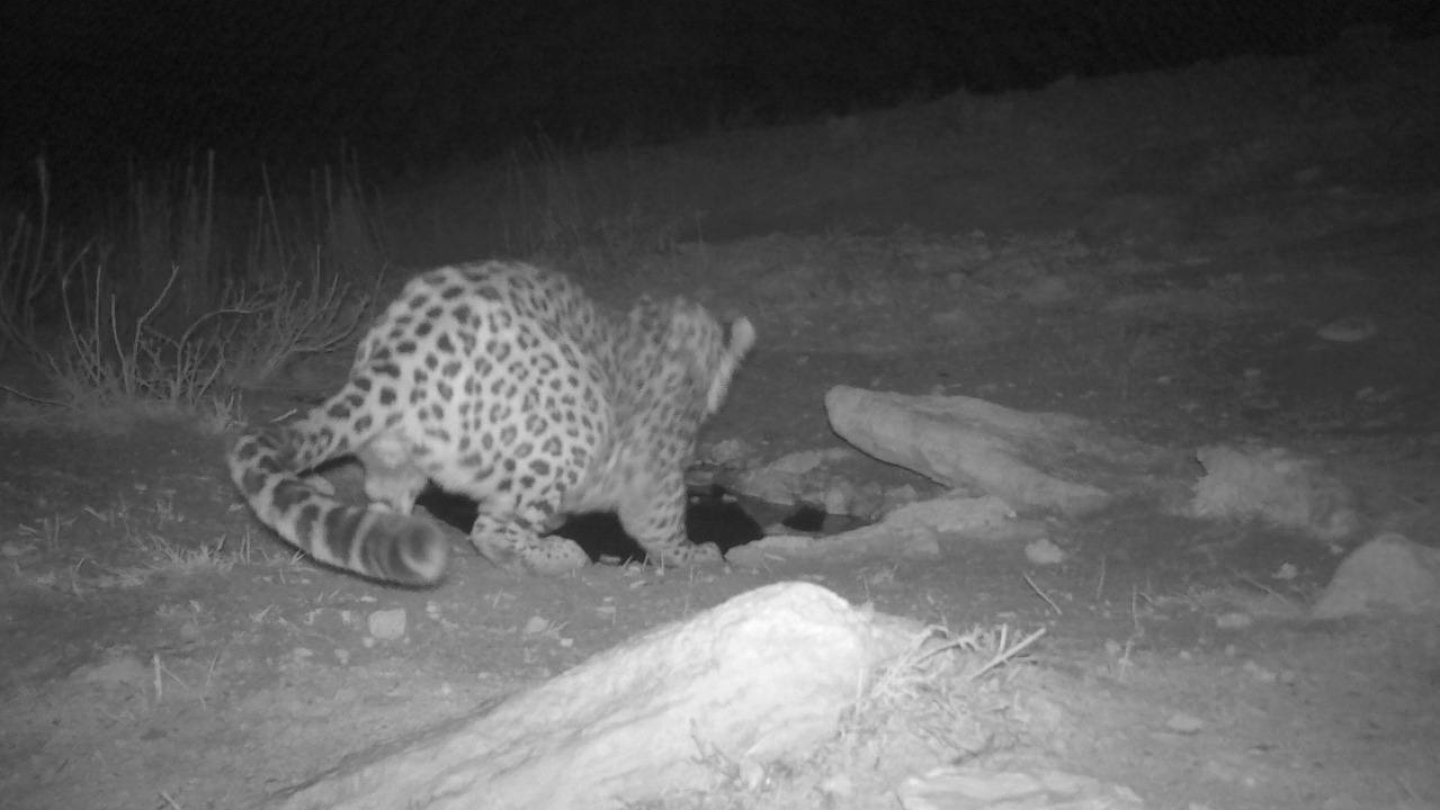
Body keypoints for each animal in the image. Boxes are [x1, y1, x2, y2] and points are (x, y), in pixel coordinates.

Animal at [227, 260, 755, 585]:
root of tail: (401, 348)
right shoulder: (658, 469)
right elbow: (660, 523)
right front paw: (699, 554)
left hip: (396, 449)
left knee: (386, 494)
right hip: (576, 422)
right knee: (491, 530)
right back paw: (558, 554)